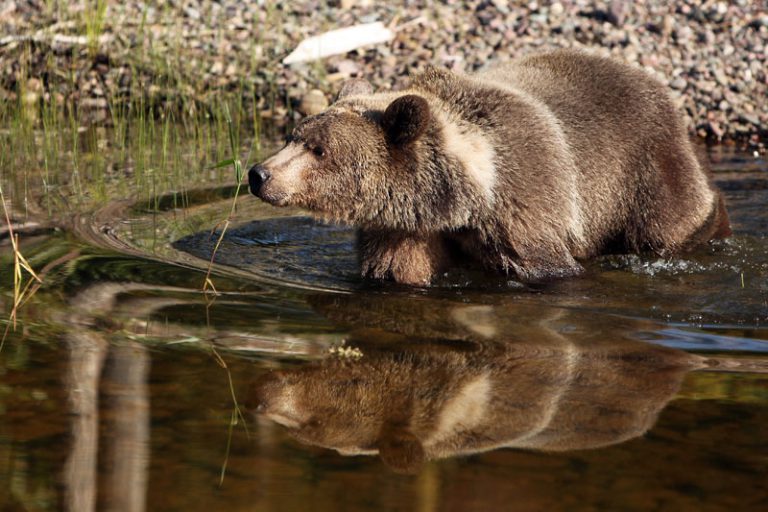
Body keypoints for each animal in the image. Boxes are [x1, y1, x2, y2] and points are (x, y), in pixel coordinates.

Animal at [248, 49, 731, 286]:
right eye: (292, 136)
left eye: (319, 150)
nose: (259, 175)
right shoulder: (403, 225)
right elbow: (393, 271)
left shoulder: (524, 201)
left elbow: (545, 265)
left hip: (645, 168)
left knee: (671, 223)